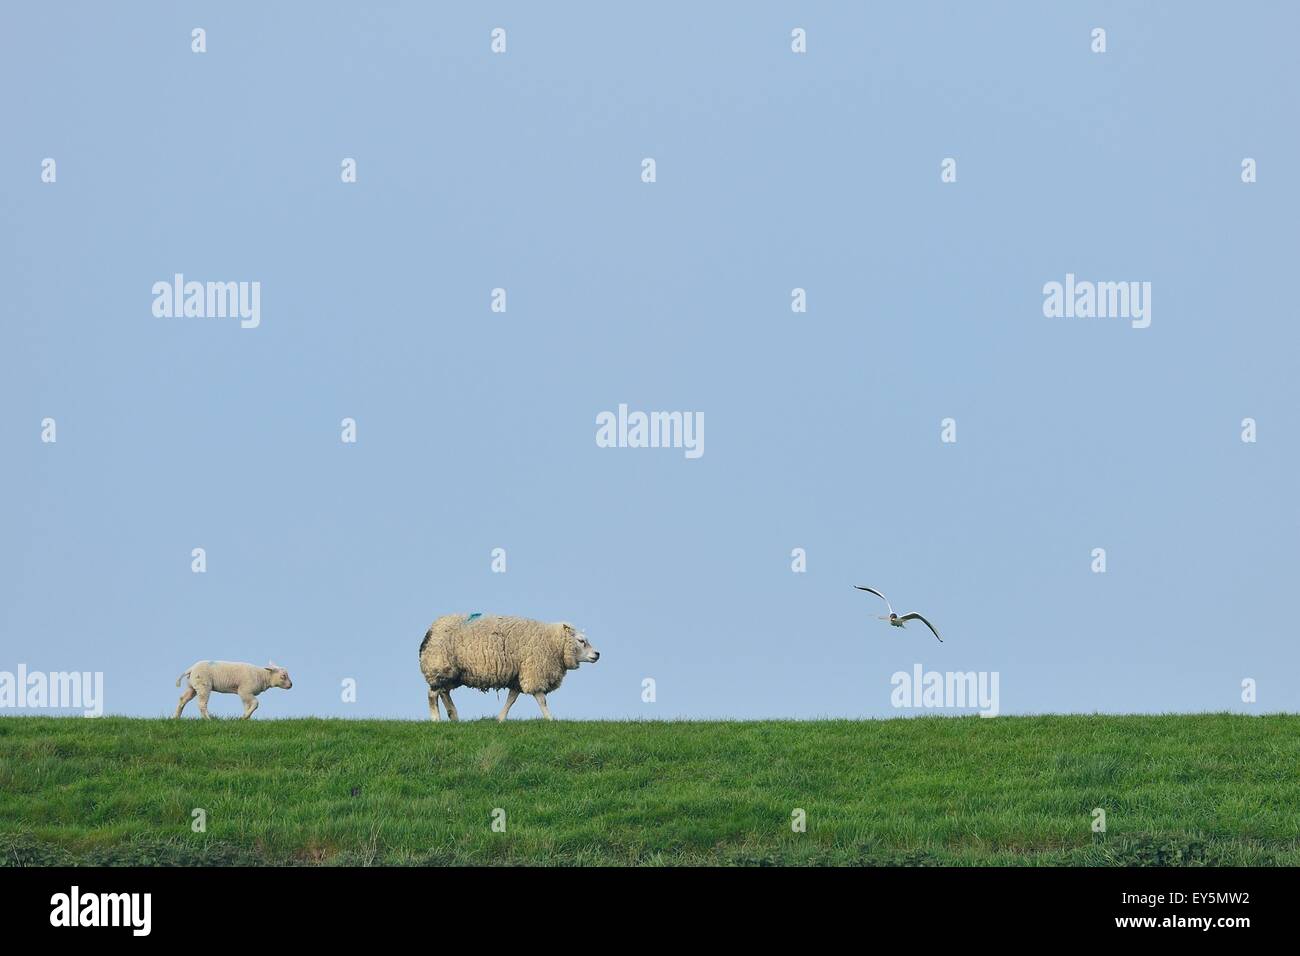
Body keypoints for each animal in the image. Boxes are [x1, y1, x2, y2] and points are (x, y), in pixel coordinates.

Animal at [418, 613, 600, 721]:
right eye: (581, 641)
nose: (597, 654)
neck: (553, 643)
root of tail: (431, 631)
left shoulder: (517, 677)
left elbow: (511, 699)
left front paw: (500, 719)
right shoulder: (533, 672)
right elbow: (542, 700)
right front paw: (550, 719)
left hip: (453, 673)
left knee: (444, 692)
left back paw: (454, 716)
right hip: (440, 665)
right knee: (432, 694)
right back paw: (436, 719)